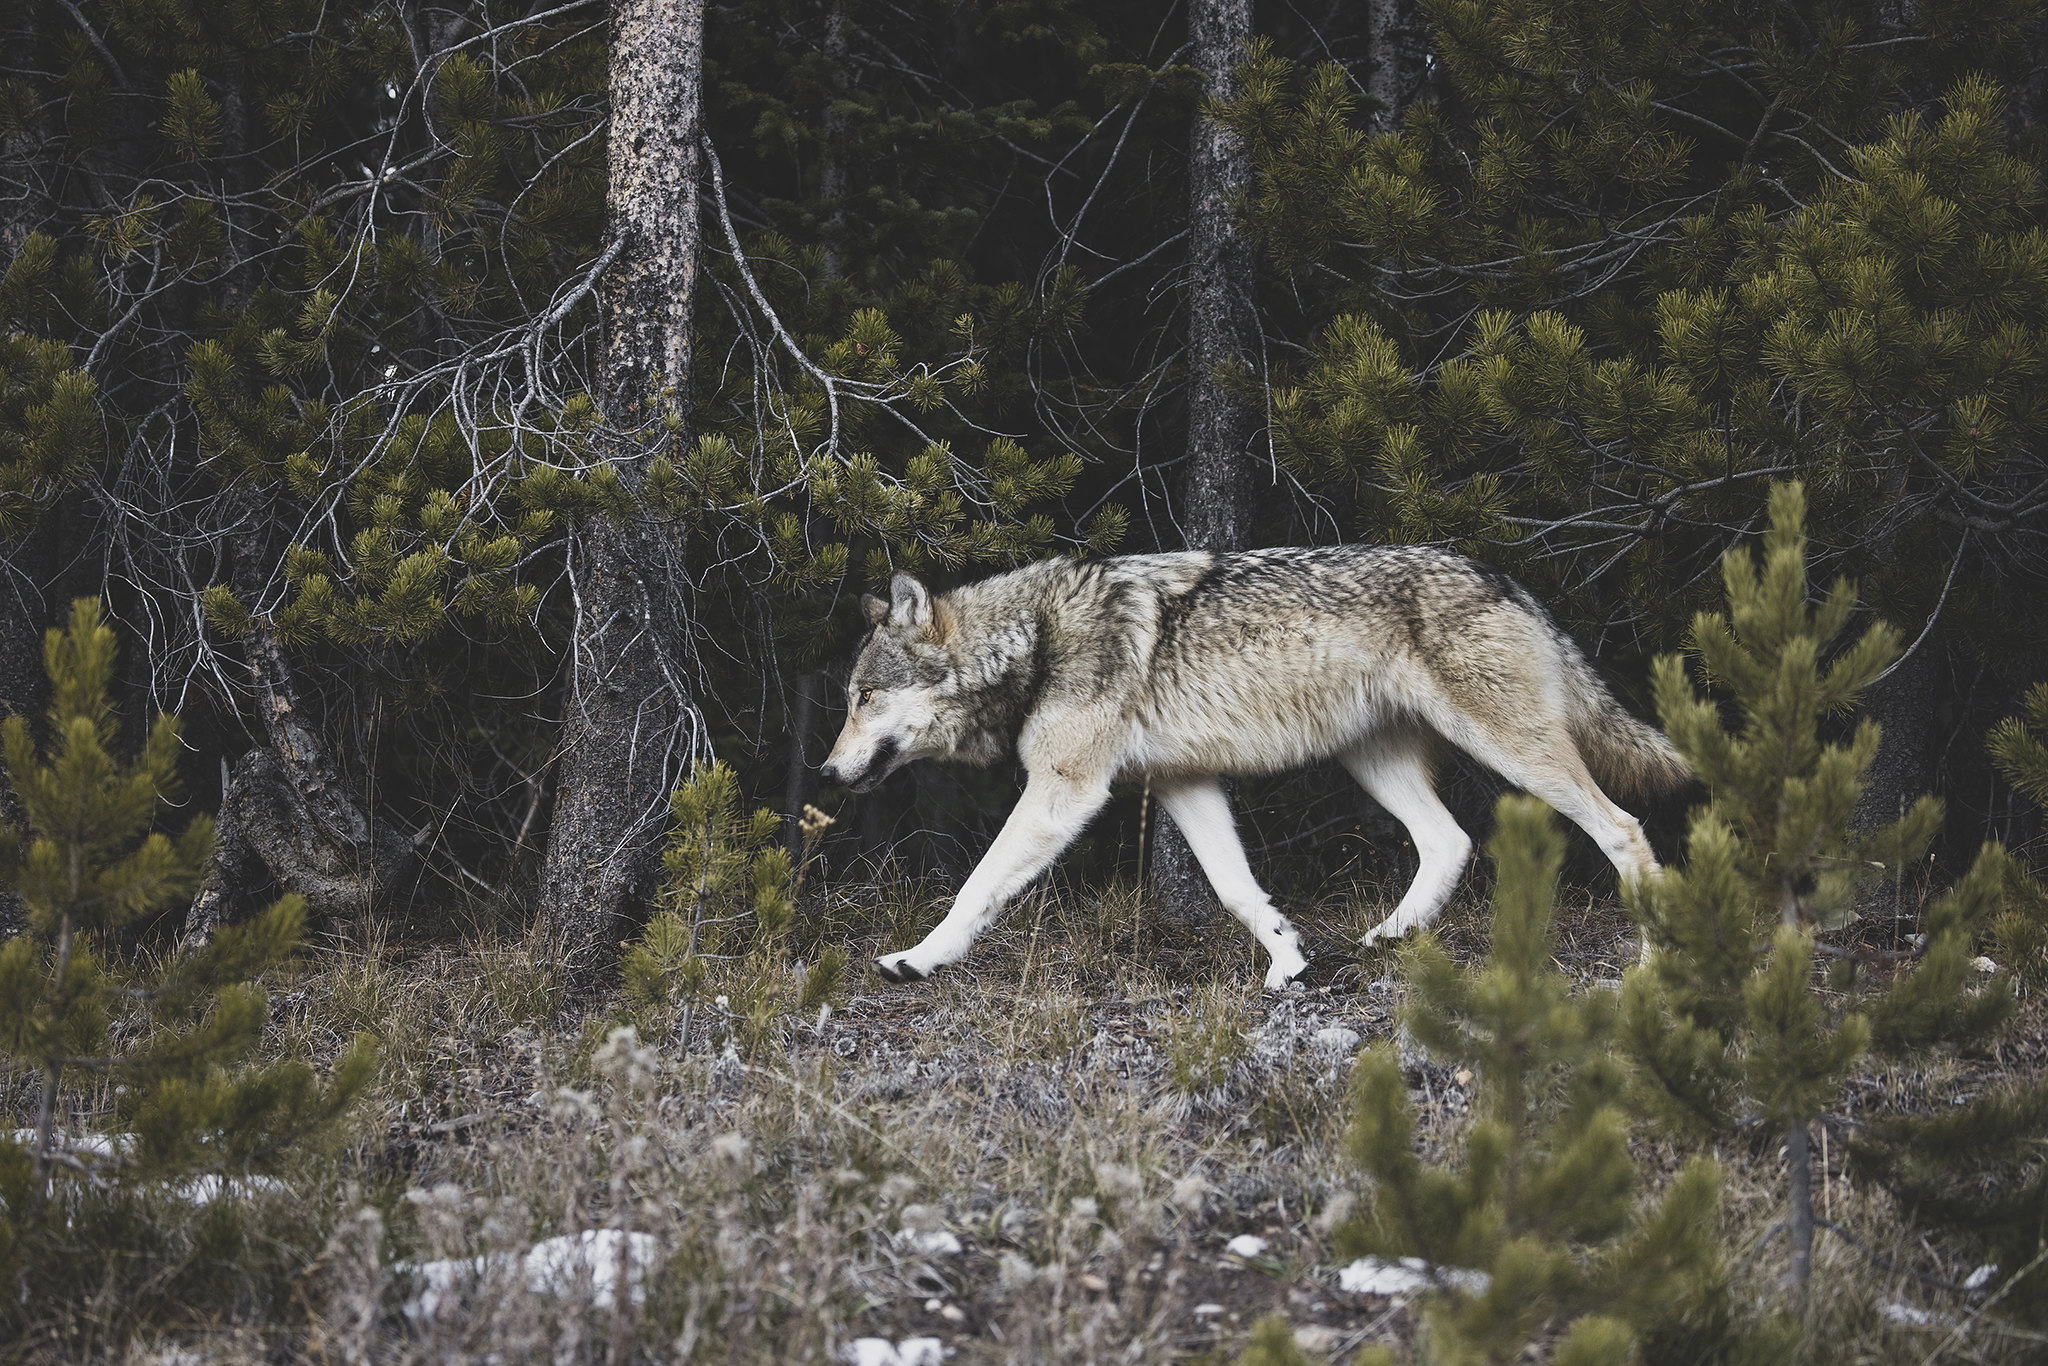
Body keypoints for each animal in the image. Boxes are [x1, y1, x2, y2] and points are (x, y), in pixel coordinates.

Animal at [819, 546, 1689, 988]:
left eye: (864, 698)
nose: (825, 775)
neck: (1034, 641)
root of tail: (1507, 579)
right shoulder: (1182, 783)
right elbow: (1238, 891)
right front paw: (1290, 961)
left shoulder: (1066, 792)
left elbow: (975, 886)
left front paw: (917, 959)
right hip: (1372, 761)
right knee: (1450, 842)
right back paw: (1388, 938)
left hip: (1510, 749)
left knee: (1623, 827)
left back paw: (1655, 961)